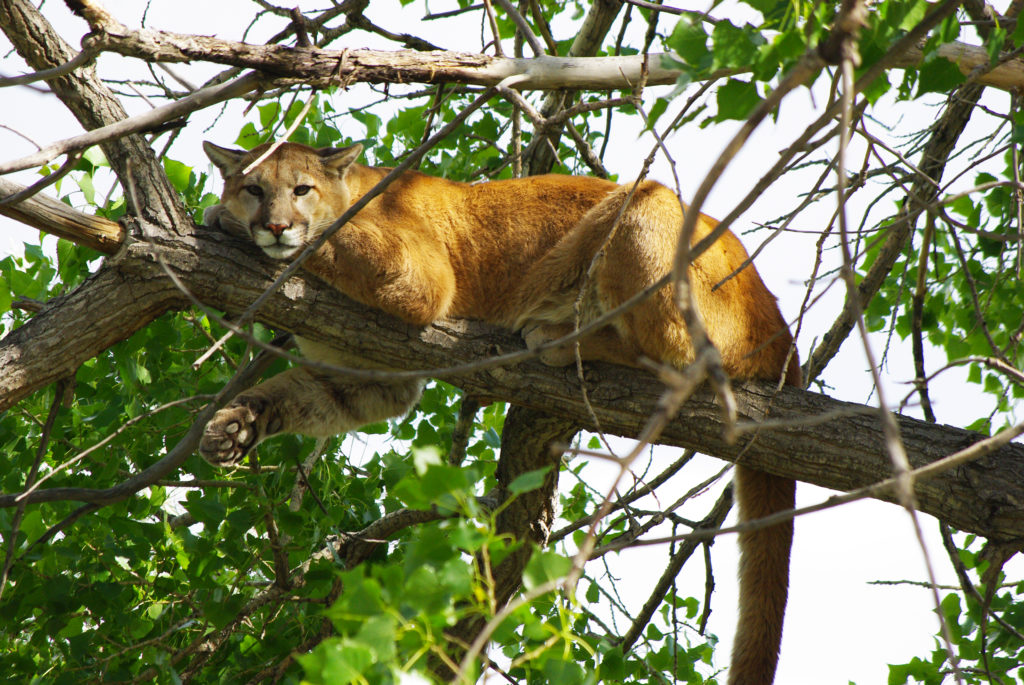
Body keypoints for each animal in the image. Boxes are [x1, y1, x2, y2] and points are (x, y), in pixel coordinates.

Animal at [200, 140, 800, 685]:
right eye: (254, 189)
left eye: (301, 190)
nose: (274, 225)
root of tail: (779, 325)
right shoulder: (365, 376)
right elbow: (291, 396)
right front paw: (232, 429)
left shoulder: (417, 278)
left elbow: (327, 237)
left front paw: (228, 222)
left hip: (644, 206)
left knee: (682, 357)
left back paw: (555, 335)